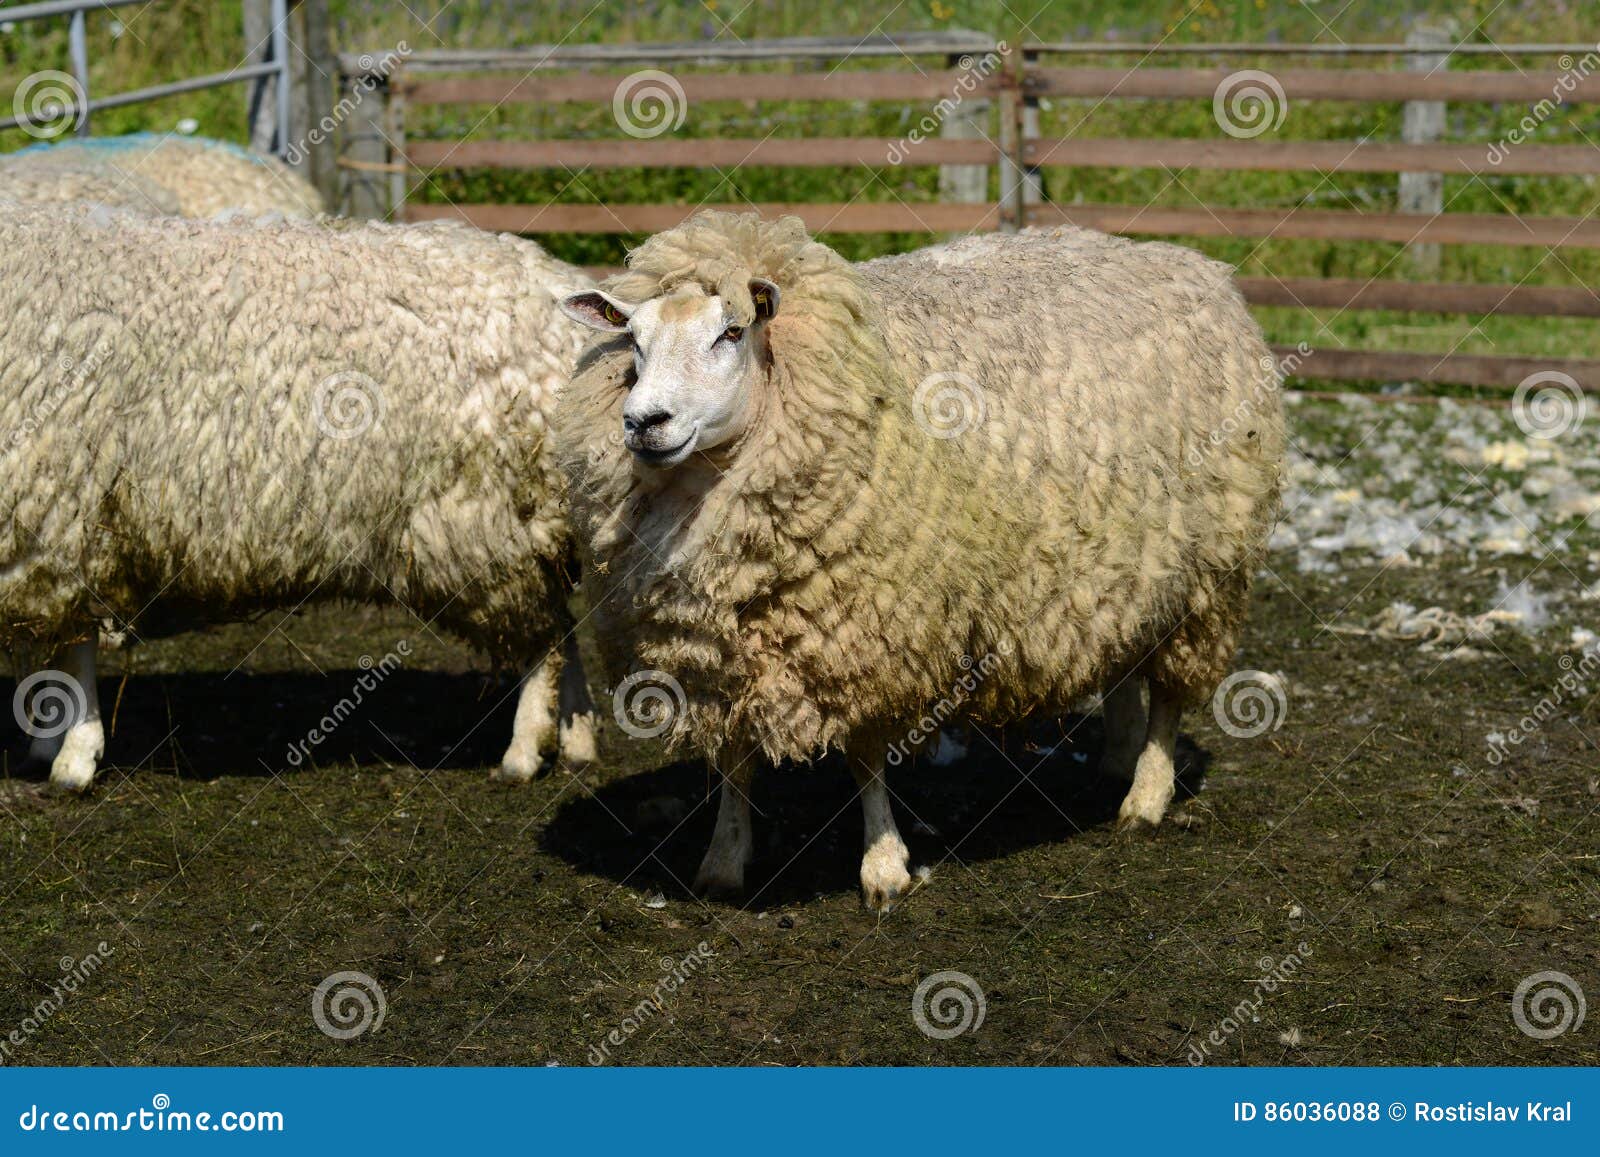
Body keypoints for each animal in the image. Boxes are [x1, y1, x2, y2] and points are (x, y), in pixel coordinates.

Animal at [1, 200, 598, 790]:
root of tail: (560, 286)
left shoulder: (58, 512)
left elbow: (72, 648)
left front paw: (73, 760)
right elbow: (48, 648)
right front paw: (47, 741)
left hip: (491, 522)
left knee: (544, 640)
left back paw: (524, 753)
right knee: (564, 631)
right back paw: (577, 741)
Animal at [555, 211, 1285, 911]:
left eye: (731, 333)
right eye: (635, 340)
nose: (645, 421)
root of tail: (1193, 262)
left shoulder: (868, 635)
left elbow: (865, 759)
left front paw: (884, 867)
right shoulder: (717, 654)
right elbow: (735, 759)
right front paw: (723, 861)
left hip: (1208, 575)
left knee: (1171, 695)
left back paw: (1145, 797)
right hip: (1132, 567)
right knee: (1127, 657)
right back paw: (1117, 758)